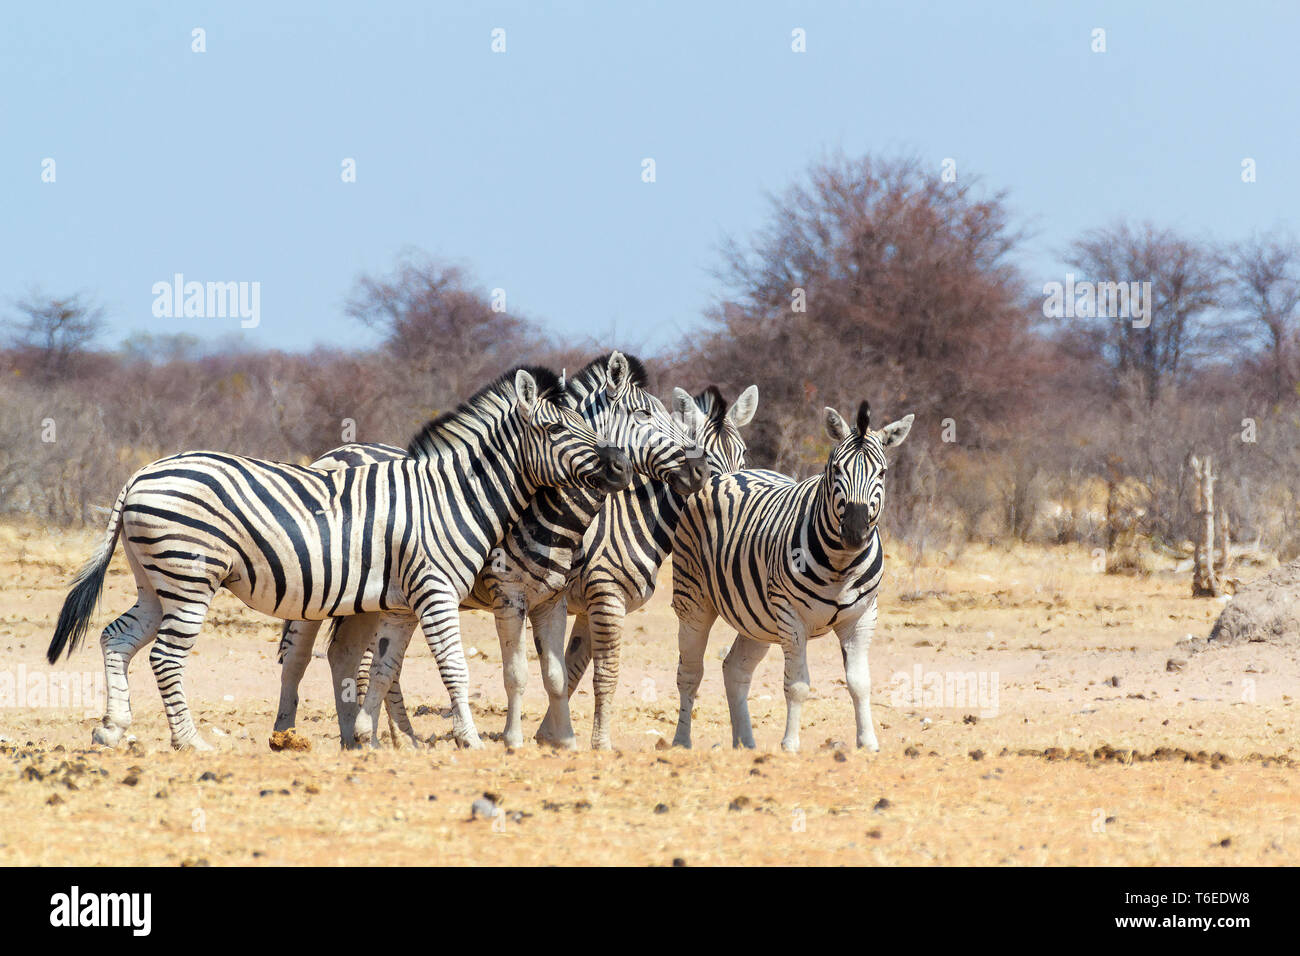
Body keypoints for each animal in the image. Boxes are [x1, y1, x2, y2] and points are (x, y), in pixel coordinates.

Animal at [46, 365, 630, 751]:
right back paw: (191, 743)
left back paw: (111, 728)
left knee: (116, 636)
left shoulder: (402, 603)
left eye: (585, 423)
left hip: (155, 580)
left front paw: (371, 738)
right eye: (555, 429)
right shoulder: (437, 591)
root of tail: (139, 474)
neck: (453, 495)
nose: (619, 467)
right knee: (166, 657)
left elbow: (384, 669)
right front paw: (471, 741)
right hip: (188, 577)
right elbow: (454, 668)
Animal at [273, 352, 712, 748]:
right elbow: (520, 672)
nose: (700, 470)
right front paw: (518, 739)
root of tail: (334, 453)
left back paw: (382, 739)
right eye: (643, 414)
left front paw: (562, 740)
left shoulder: (555, 599)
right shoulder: (516, 594)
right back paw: (288, 736)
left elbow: (558, 673)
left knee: (352, 658)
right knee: (298, 656)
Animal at [534, 382, 759, 749]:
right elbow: (604, 674)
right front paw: (600, 744)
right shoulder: (605, 595)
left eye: (742, 455)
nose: (730, 502)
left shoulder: (590, 604)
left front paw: (548, 735)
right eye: (707, 457)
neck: (633, 516)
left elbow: (572, 669)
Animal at [668, 401, 913, 753]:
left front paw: (867, 742)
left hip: (757, 619)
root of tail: (730, 473)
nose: (855, 531)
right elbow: (797, 685)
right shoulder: (790, 616)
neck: (841, 563)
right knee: (690, 672)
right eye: (835, 469)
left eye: (881, 472)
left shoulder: (862, 616)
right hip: (694, 601)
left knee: (734, 668)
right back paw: (681, 741)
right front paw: (791, 745)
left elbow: (860, 683)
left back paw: (745, 743)